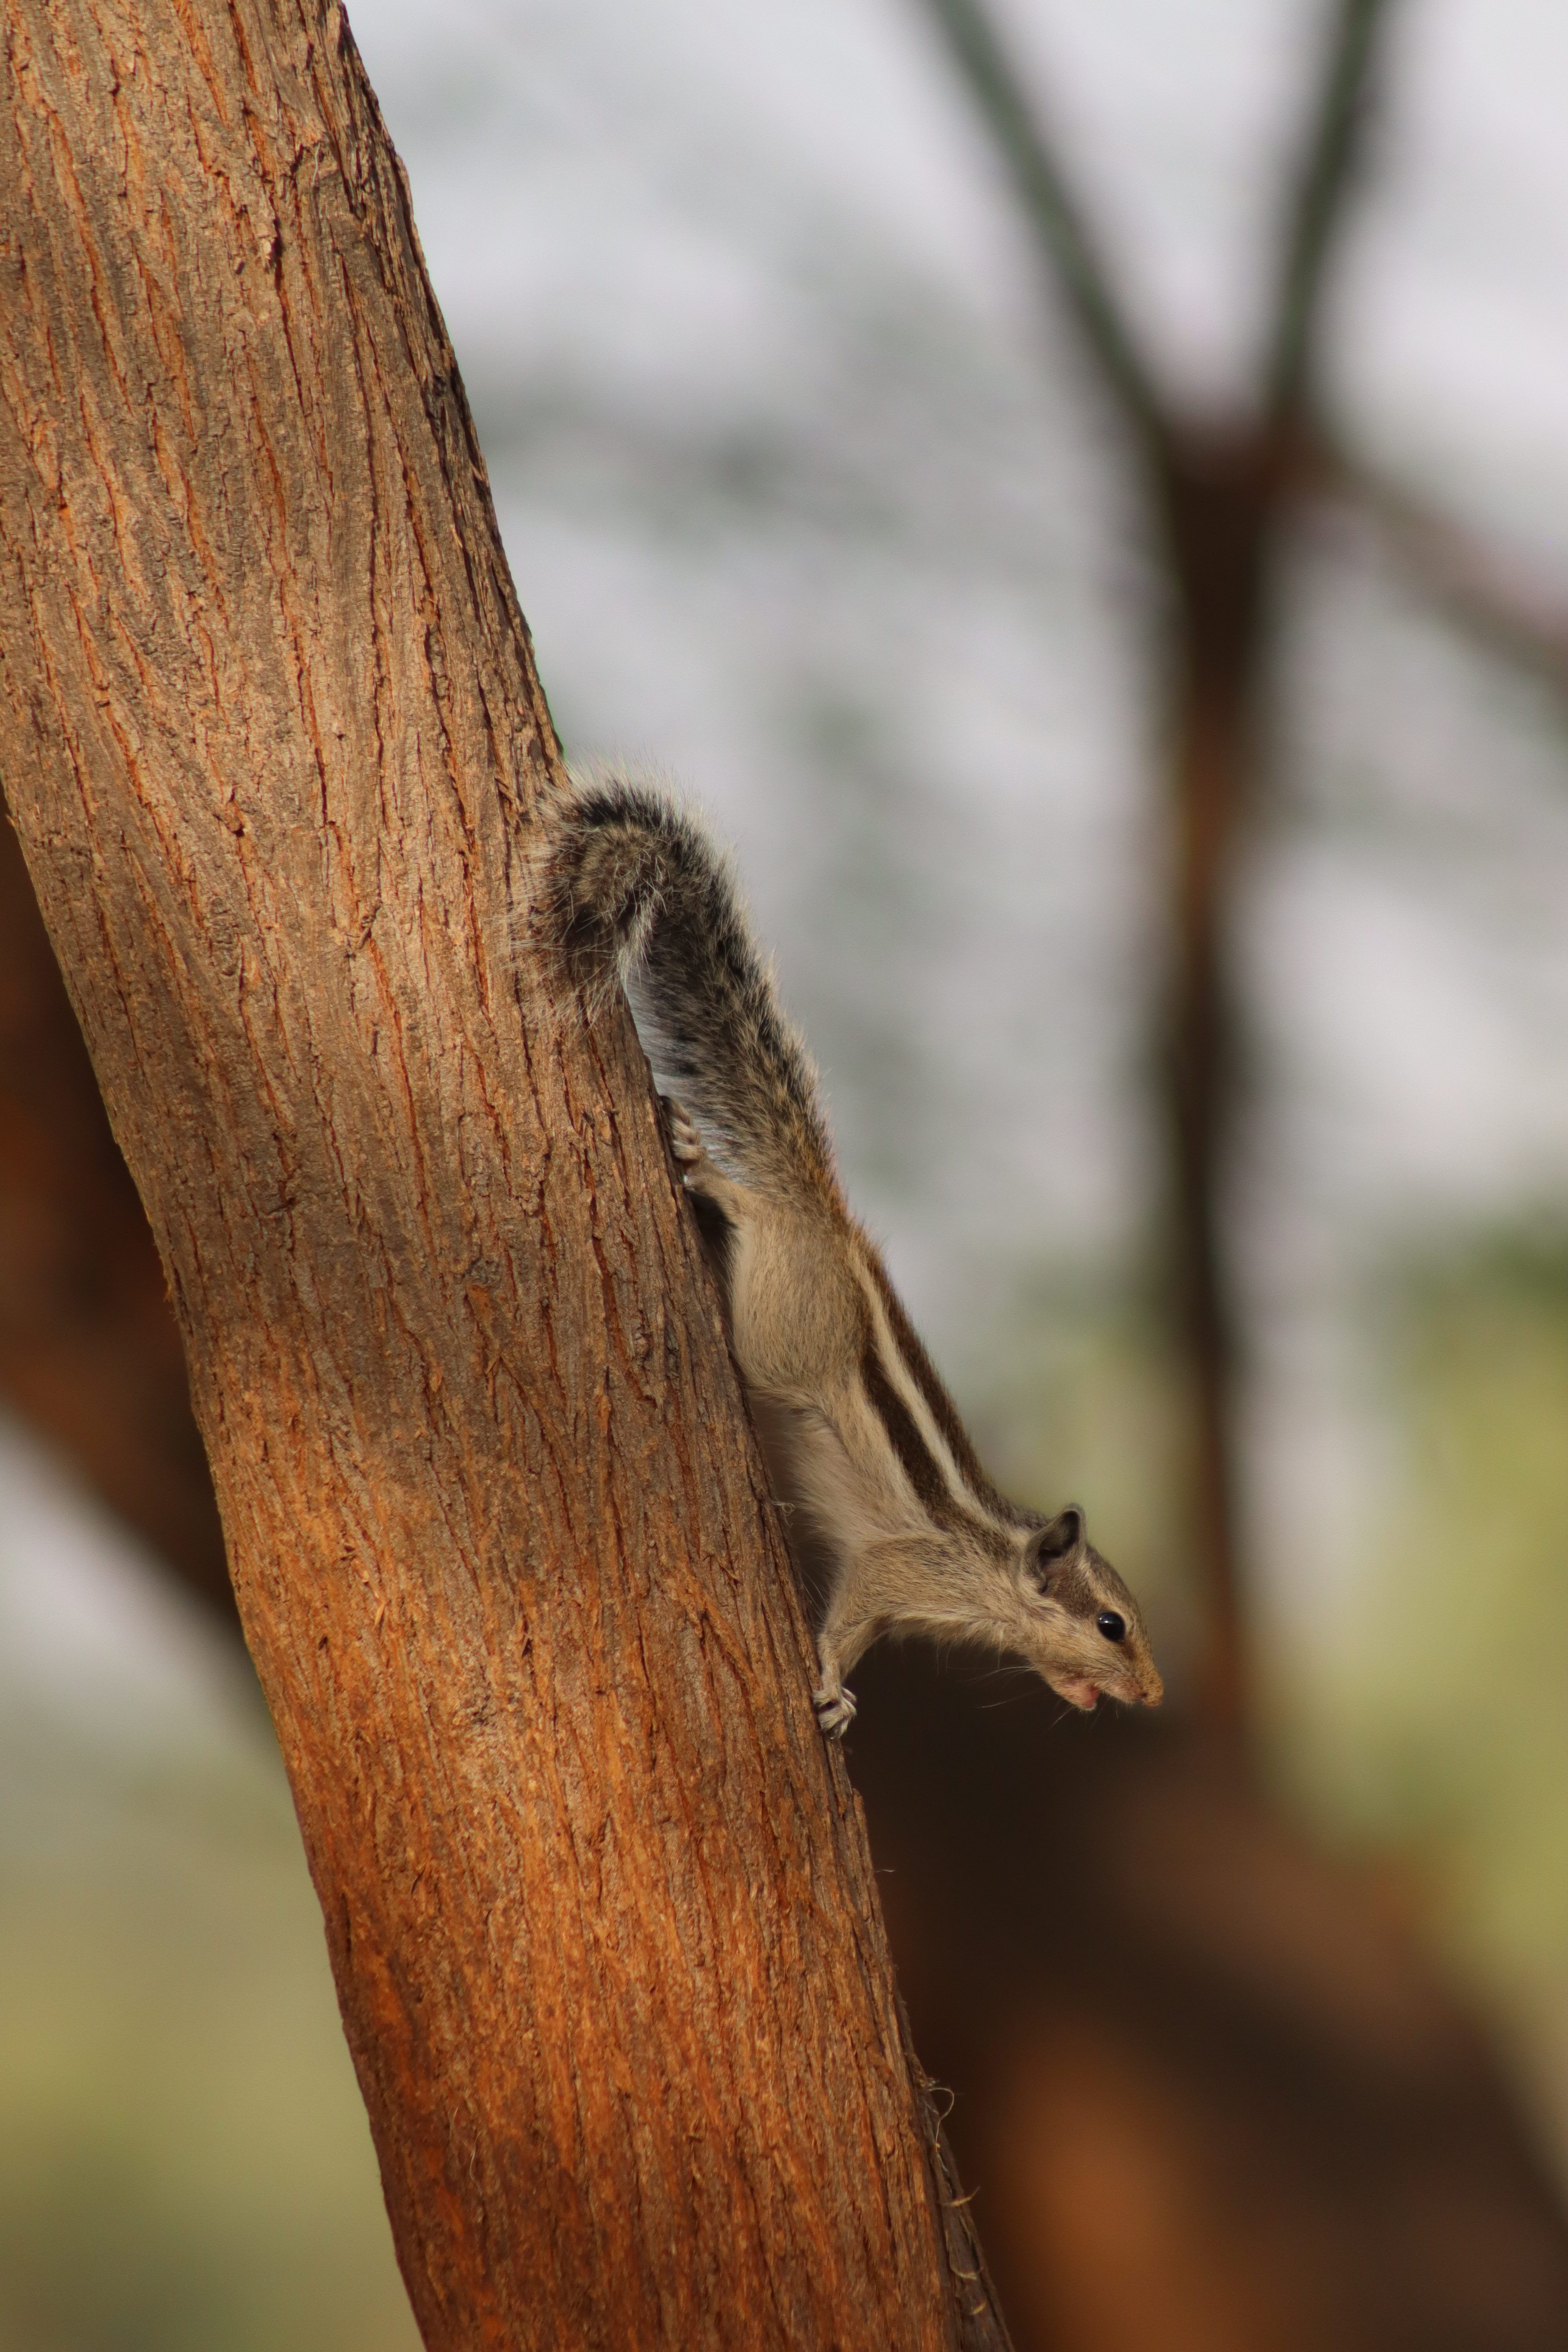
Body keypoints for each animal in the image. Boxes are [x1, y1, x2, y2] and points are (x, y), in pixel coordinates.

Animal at [542, 776, 1163, 1736]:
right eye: (1110, 1624)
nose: (1153, 1692)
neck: (990, 1561)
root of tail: (822, 1210)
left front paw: (845, 1699)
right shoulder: (899, 1569)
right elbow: (849, 1617)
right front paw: (832, 1683)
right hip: (782, 1330)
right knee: (755, 1221)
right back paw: (713, 1175)